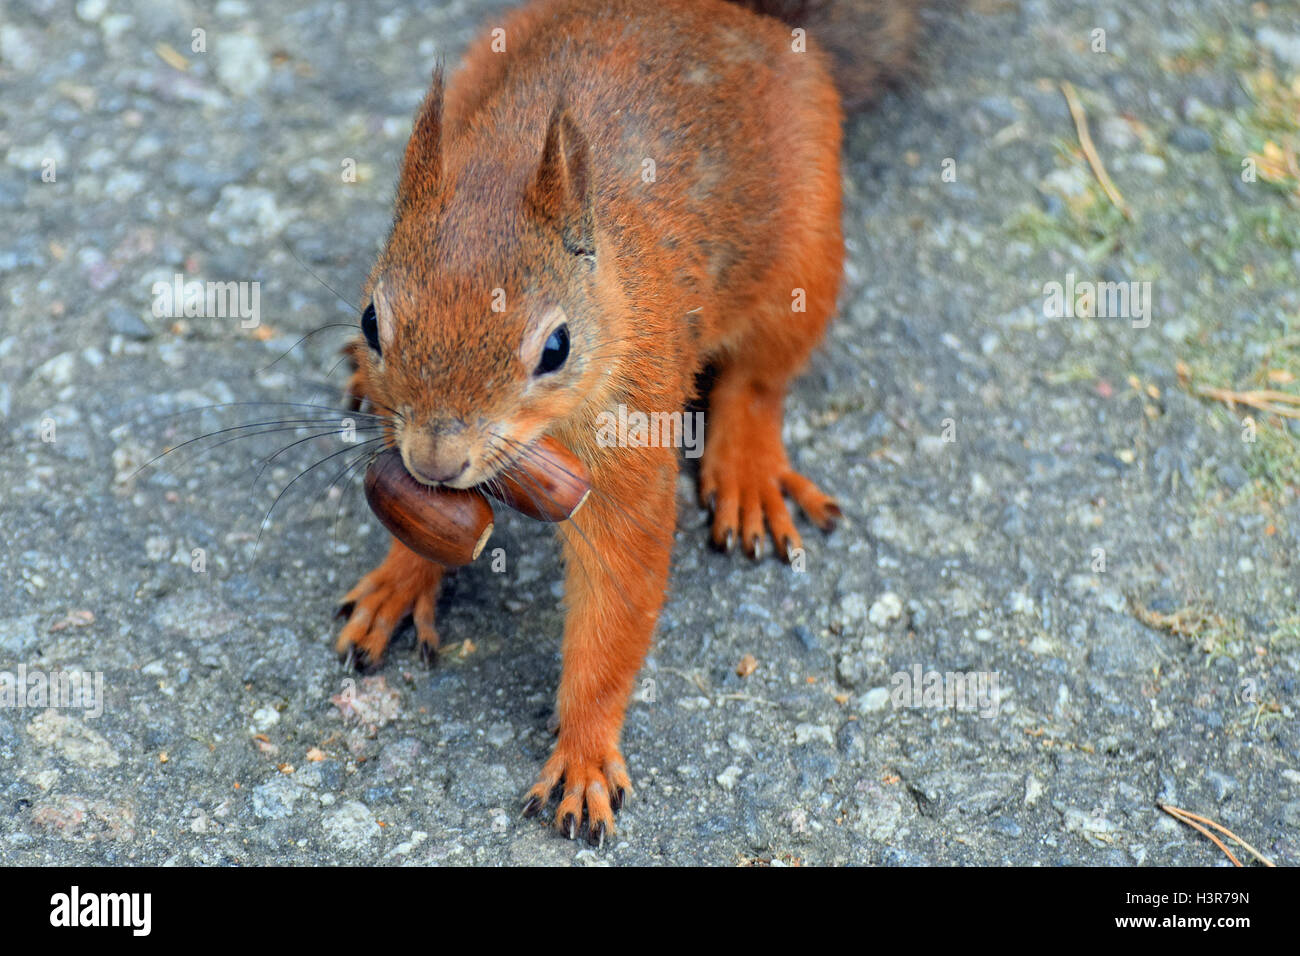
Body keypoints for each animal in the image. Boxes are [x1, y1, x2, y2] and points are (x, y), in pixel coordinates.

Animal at [335, 0, 923, 843]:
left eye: (555, 348)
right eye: (371, 320)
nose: (436, 461)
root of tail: (747, 19)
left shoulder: (630, 446)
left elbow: (617, 603)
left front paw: (583, 756)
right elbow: (425, 524)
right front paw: (397, 582)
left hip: (804, 257)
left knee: (760, 379)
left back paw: (748, 471)